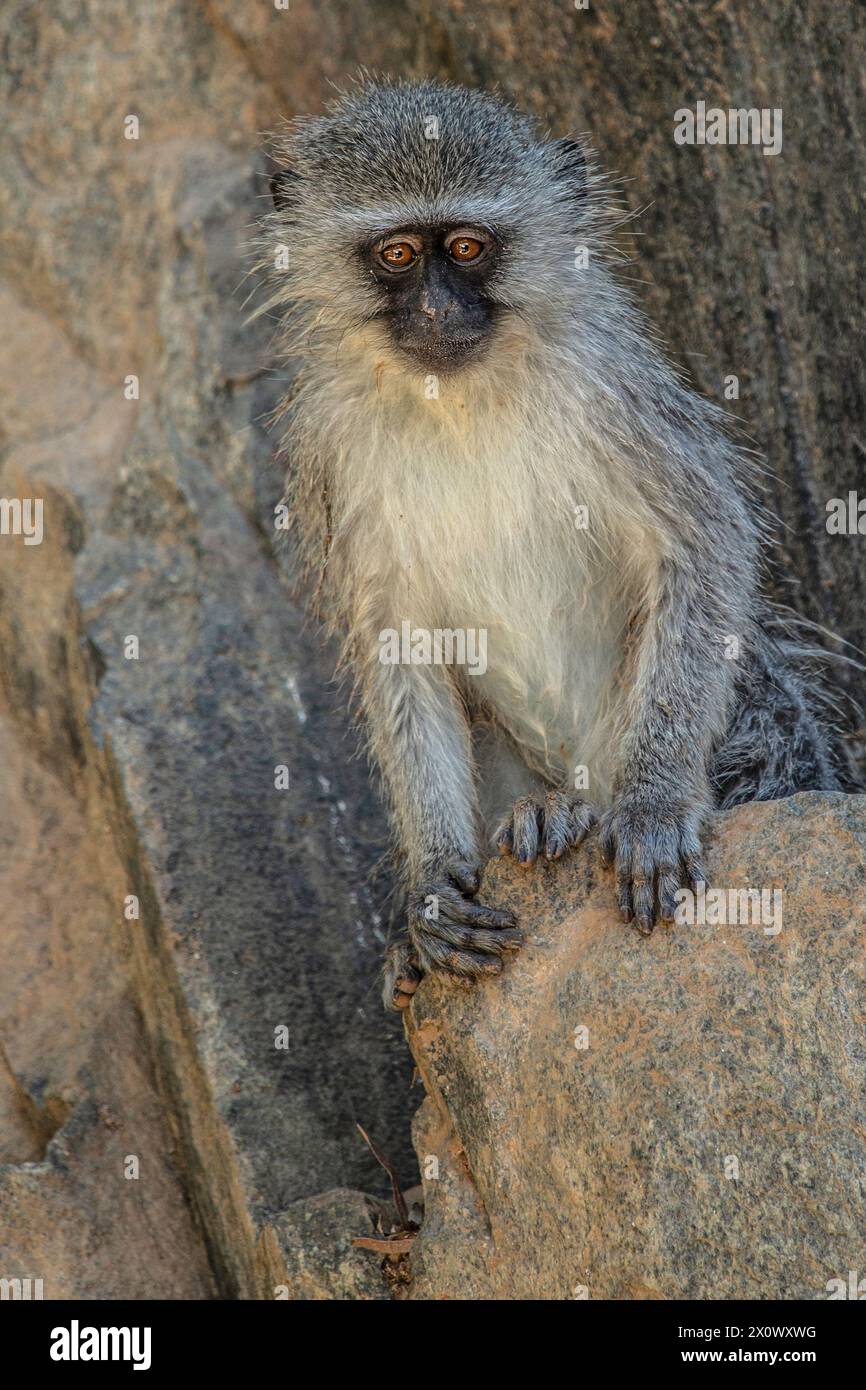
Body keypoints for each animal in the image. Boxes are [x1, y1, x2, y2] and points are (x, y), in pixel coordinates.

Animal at [262, 78, 845, 1011]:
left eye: (467, 247)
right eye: (398, 254)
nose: (438, 309)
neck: (458, 400)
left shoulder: (608, 384)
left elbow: (703, 541)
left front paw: (652, 806)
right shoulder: (330, 449)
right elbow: (396, 639)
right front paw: (433, 881)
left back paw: (584, 809)